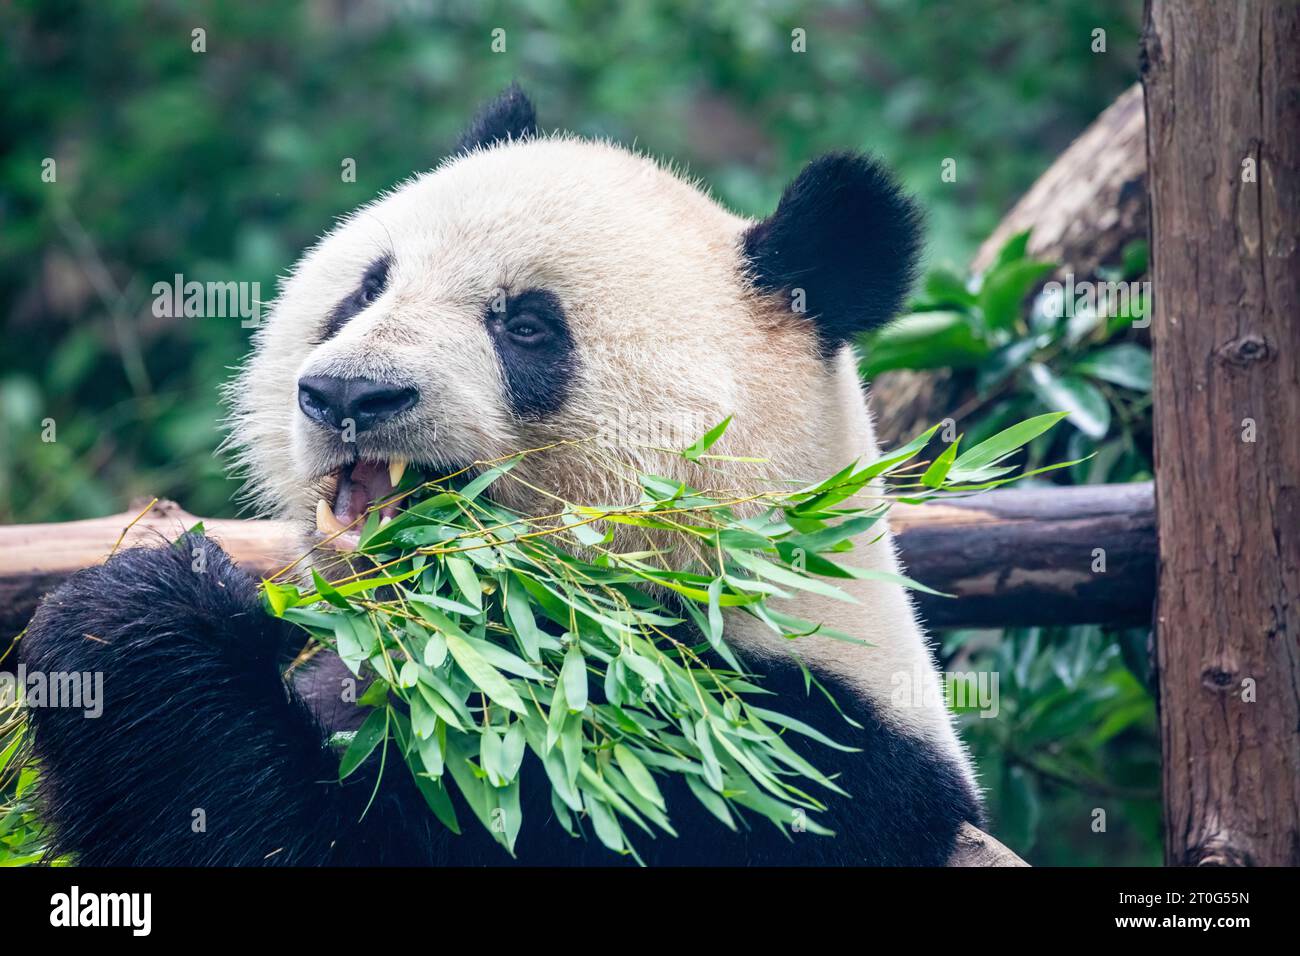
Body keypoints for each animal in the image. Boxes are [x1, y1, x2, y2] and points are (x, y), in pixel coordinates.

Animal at [21, 86, 982, 866]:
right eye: (367, 288)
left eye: (527, 325)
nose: (349, 393)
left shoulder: (731, 759)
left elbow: (305, 830)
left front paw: (141, 612)